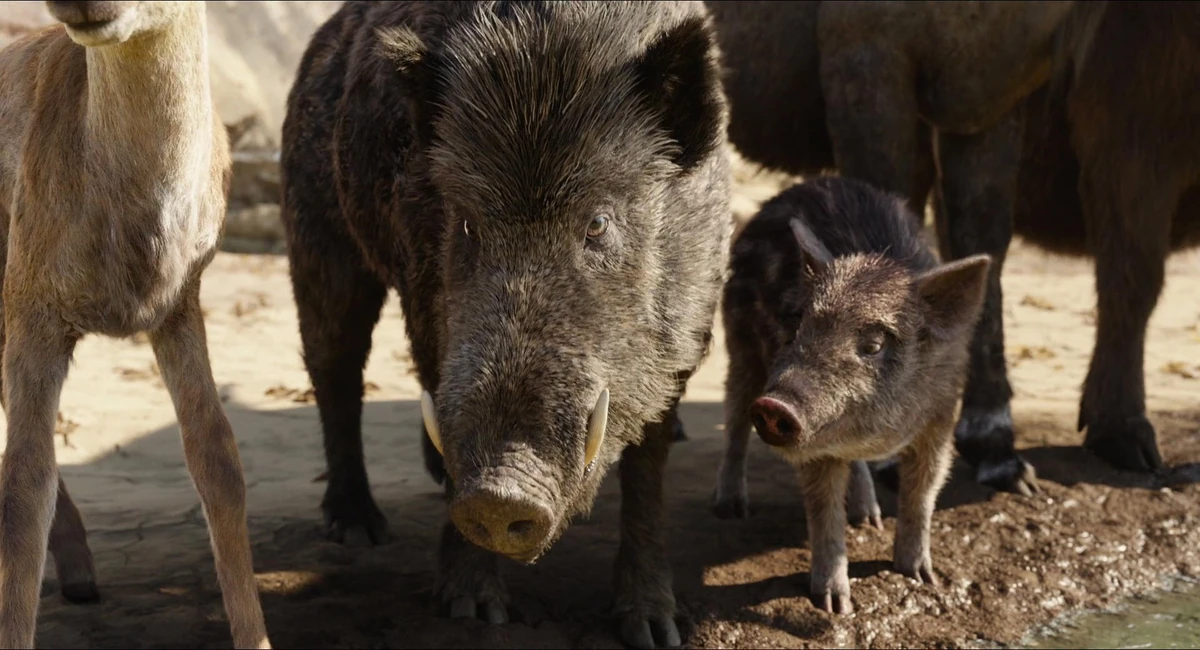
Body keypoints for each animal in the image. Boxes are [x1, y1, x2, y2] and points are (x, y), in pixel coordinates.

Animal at [279, 2, 731, 647]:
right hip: (316, 233)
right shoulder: (427, 298)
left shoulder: (688, 332)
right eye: (466, 223)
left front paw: (654, 628)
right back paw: (359, 529)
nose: (497, 493)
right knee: (335, 370)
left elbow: (649, 469)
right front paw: (472, 612)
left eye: (598, 223)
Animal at [714, 176, 990, 613]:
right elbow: (823, 510)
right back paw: (729, 510)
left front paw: (923, 577)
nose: (774, 405)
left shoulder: (943, 416)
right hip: (740, 346)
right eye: (799, 323)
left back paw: (869, 519)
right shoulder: (811, 444)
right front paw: (835, 606)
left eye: (874, 344)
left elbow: (923, 492)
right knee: (736, 417)